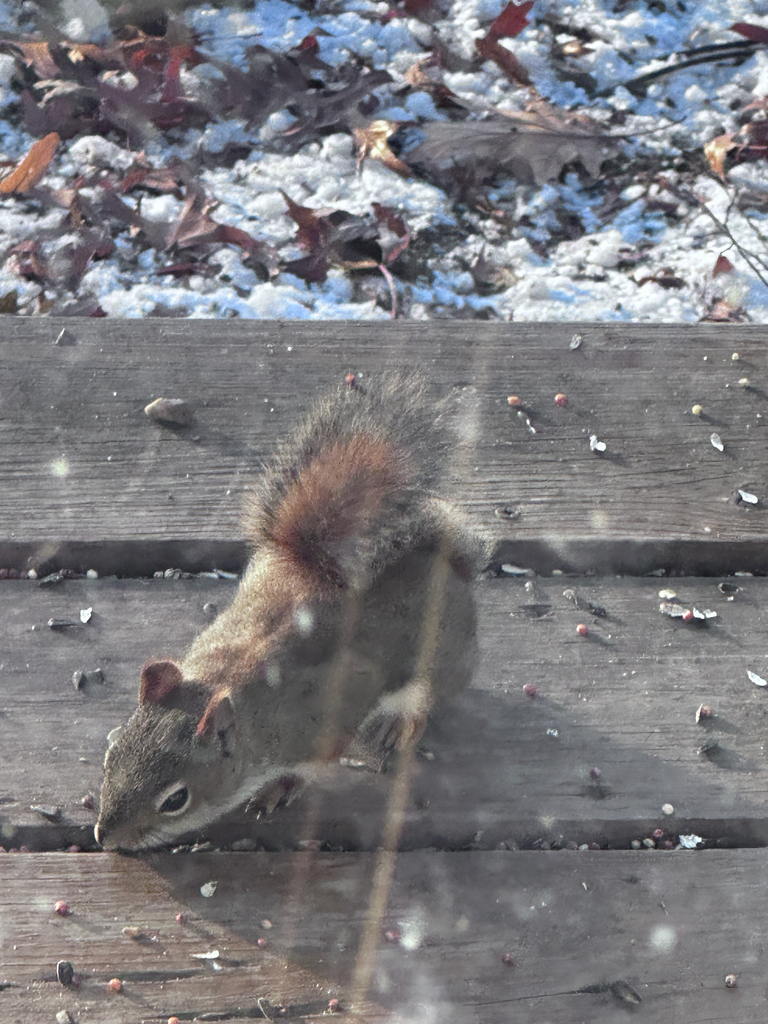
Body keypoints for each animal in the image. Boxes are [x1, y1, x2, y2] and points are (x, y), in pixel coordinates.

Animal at [95, 373, 484, 851]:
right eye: (111, 756)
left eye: (175, 799)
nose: (104, 837)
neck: (227, 687)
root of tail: (450, 565)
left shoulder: (323, 721)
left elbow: (310, 765)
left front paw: (279, 787)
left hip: (435, 662)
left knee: (425, 699)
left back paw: (398, 725)